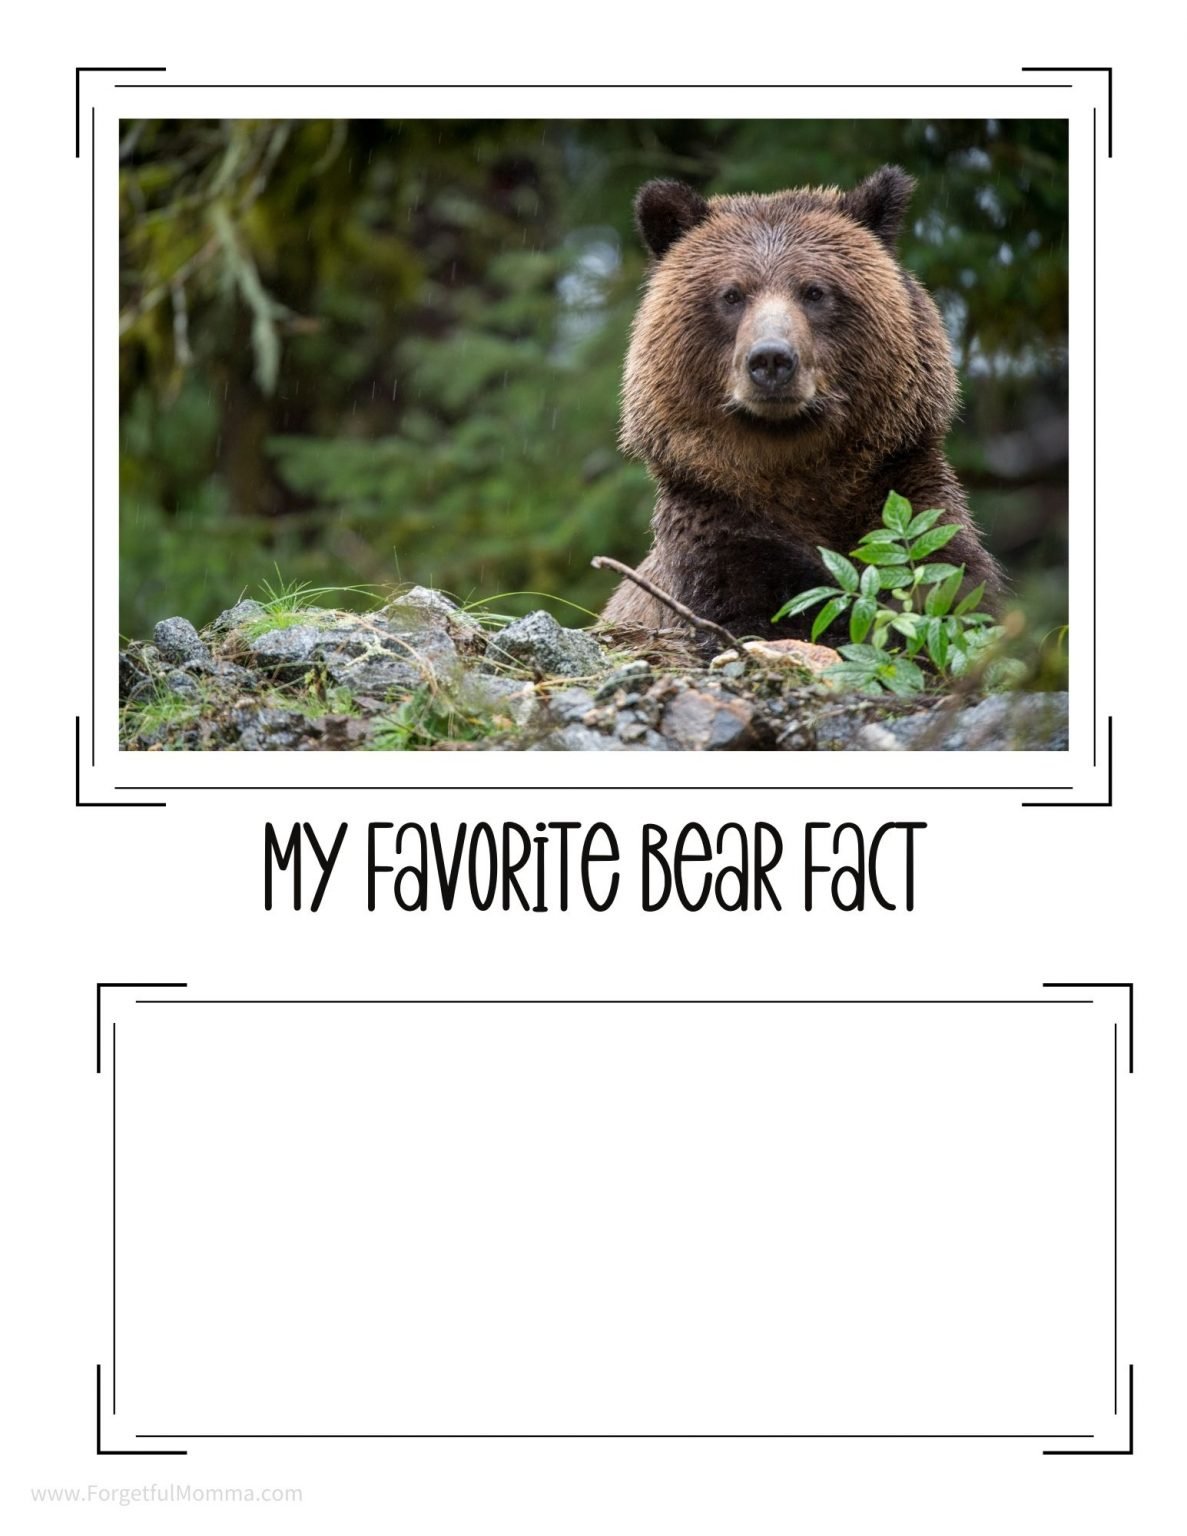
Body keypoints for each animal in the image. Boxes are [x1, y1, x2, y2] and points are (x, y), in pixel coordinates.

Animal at [601, 166, 1002, 643]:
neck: (796, 468)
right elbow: (764, 608)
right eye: (732, 294)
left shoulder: (906, 496)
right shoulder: (717, 529)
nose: (771, 359)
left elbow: (951, 583)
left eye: (814, 291)